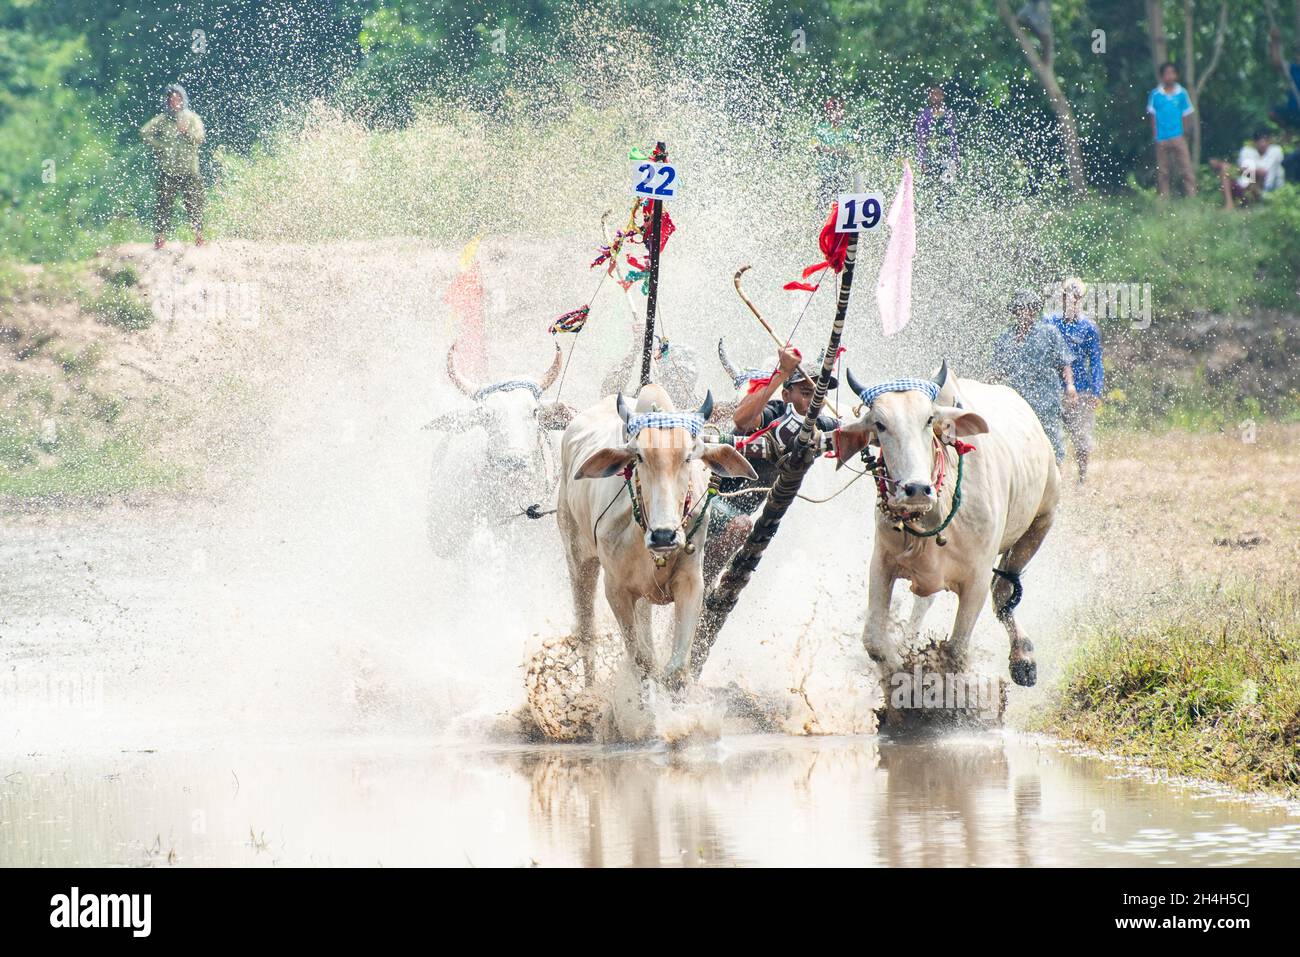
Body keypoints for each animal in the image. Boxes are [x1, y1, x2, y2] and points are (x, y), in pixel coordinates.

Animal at [557, 385, 756, 690]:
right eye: (638, 456)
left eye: (688, 456)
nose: (664, 535)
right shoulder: (616, 590)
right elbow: (643, 663)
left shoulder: (691, 582)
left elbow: (676, 669)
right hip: (577, 557)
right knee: (587, 633)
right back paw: (590, 691)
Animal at [834, 362, 1060, 690]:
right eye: (879, 424)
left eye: (929, 420)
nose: (916, 489)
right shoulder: (882, 562)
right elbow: (875, 642)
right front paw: (903, 679)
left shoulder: (977, 577)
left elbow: (956, 651)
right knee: (925, 604)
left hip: (1043, 519)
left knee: (1003, 593)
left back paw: (1023, 658)